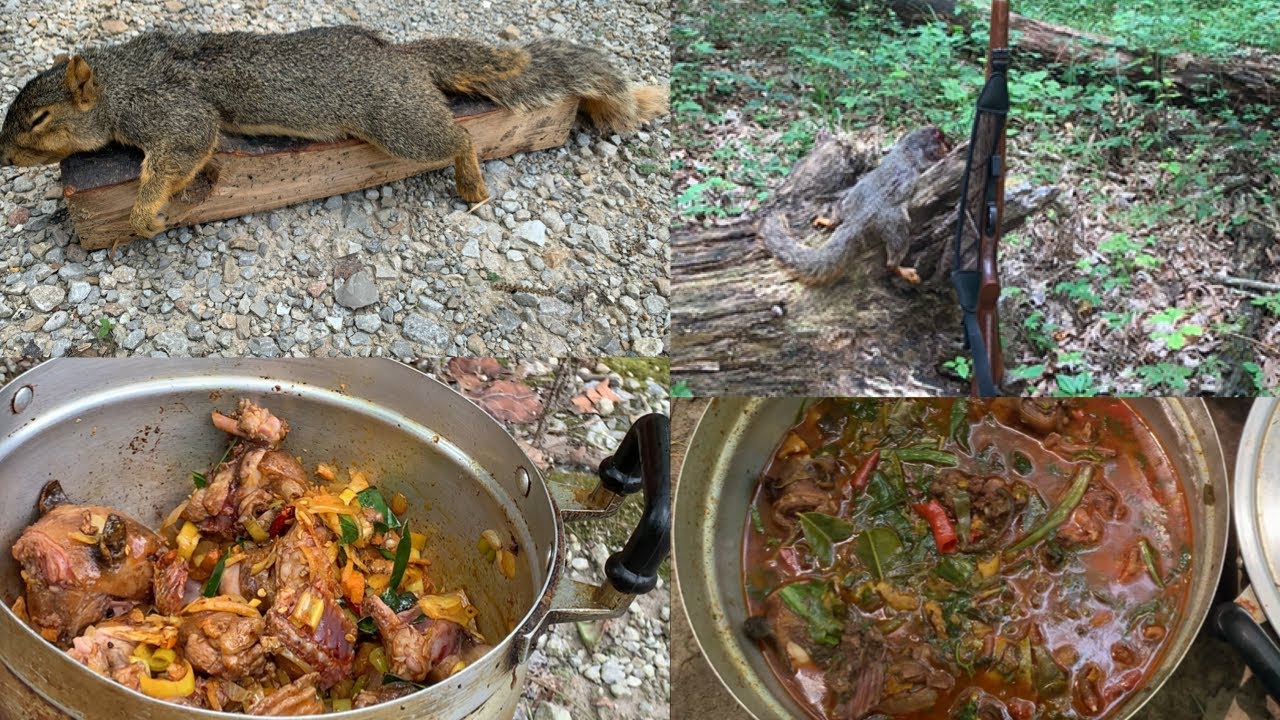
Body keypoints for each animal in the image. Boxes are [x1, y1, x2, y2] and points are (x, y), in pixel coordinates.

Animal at [0, 26, 667, 243]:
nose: (3, 157)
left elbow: (185, 144)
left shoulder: (169, 109)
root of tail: (402, 59)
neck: (119, 82)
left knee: (455, 138)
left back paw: (471, 180)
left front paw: (143, 214)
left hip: (395, 119)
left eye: (39, 120)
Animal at [761, 127, 949, 286]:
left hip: (847, 201)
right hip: (894, 223)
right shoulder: (921, 158)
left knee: (838, 213)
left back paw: (828, 221)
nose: (950, 144)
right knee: (893, 256)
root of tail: (859, 218)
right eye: (943, 139)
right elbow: (928, 165)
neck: (910, 143)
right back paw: (901, 269)